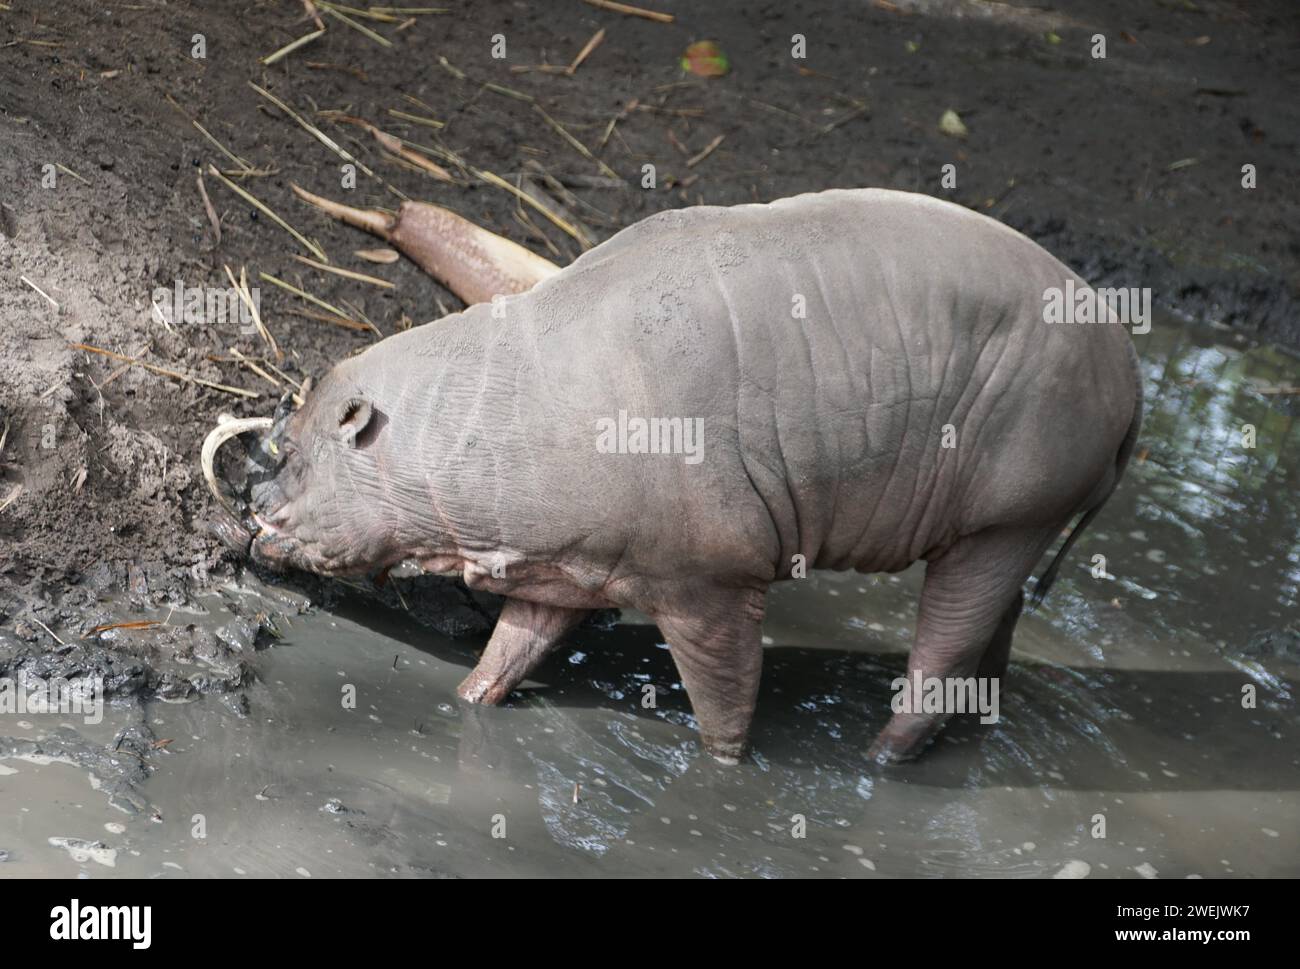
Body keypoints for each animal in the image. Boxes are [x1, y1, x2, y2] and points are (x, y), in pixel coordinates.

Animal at [206, 188, 1142, 764]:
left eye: (291, 447)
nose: (234, 509)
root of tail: (1132, 382)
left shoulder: (707, 580)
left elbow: (726, 700)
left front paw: (728, 769)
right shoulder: (564, 563)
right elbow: (510, 651)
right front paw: (468, 698)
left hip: (1015, 512)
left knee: (945, 644)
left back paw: (881, 758)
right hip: (1010, 530)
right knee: (995, 627)